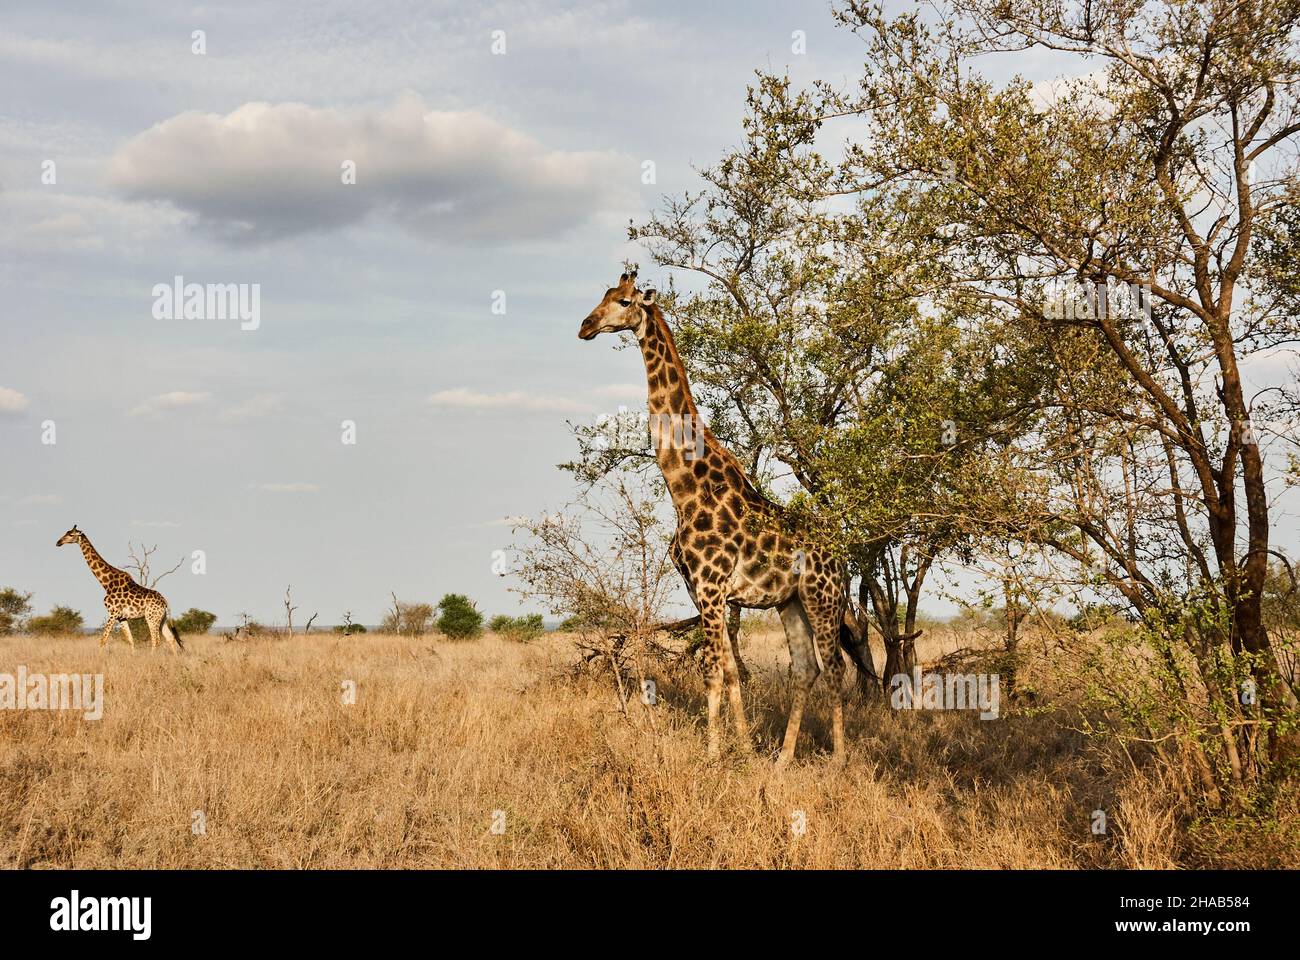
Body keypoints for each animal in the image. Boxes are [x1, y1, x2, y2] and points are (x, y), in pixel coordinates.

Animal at [580, 271, 848, 766]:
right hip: (790, 602)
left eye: (624, 302)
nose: (585, 326)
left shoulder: (710, 587)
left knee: (835, 666)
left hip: (824, 597)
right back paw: (782, 759)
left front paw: (712, 753)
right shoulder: (701, 589)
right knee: (805, 669)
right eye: (602, 296)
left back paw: (839, 760)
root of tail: (841, 556)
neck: (684, 488)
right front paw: (743, 748)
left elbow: (713, 670)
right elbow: (730, 668)